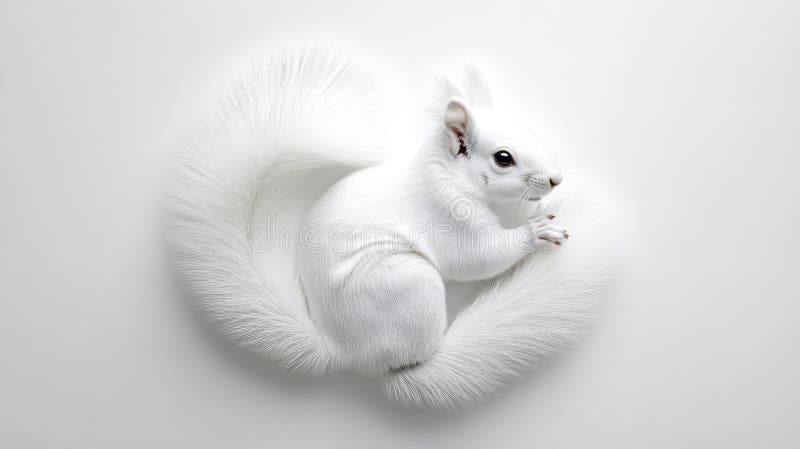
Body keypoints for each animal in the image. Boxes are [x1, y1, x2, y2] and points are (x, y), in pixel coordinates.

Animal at [170, 48, 617, 408]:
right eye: (503, 158)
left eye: (532, 131)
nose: (557, 180)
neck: (446, 178)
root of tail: (343, 351)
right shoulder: (449, 219)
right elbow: (477, 258)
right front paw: (534, 231)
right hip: (409, 285)